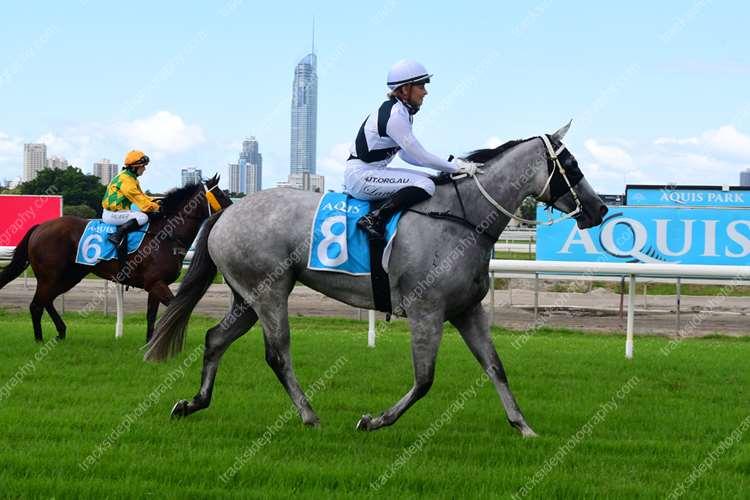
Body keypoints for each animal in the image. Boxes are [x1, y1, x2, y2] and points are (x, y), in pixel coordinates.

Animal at [0, 175, 232, 343]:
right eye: (220, 194)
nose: (234, 210)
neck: (165, 235)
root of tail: (40, 226)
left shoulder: (155, 284)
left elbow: (151, 315)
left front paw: (149, 342)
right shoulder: (156, 283)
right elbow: (176, 308)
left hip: (69, 275)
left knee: (45, 301)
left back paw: (61, 332)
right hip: (51, 276)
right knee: (36, 304)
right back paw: (39, 339)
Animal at [145, 123, 608, 437]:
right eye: (570, 163)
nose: (600, 208)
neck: (462, 219)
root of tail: (227, 211)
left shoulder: (467, 309)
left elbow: (496, 367)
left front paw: (523, 426)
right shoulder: (427, 311)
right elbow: (425, 380)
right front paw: (374, 420)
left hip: (247, 298)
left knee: (215, 339)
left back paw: (192, 403)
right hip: (270, 291)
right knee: (278, 355)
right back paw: (309, 415)